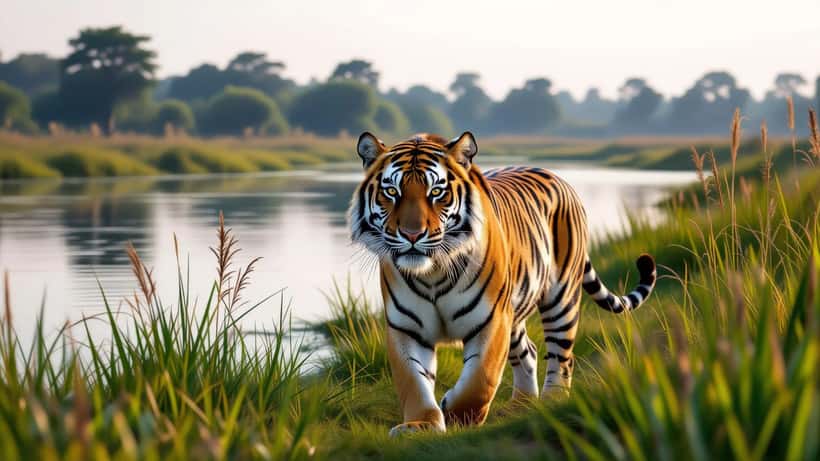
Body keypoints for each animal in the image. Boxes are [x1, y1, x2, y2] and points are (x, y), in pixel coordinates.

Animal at [348, 131, 657, 436]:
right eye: (391, 191)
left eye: (436, 192)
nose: (412, 235)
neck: (432, 273)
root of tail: (557, 177)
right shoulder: (406, 327)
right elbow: (413, 381)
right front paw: (421, 426)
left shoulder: (491, 319)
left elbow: (479, 379)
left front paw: (458, 414)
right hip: (515, 313)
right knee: (529, 352)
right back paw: (521, 404)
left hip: (560, 299)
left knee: (562, 356)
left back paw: (553, 400)